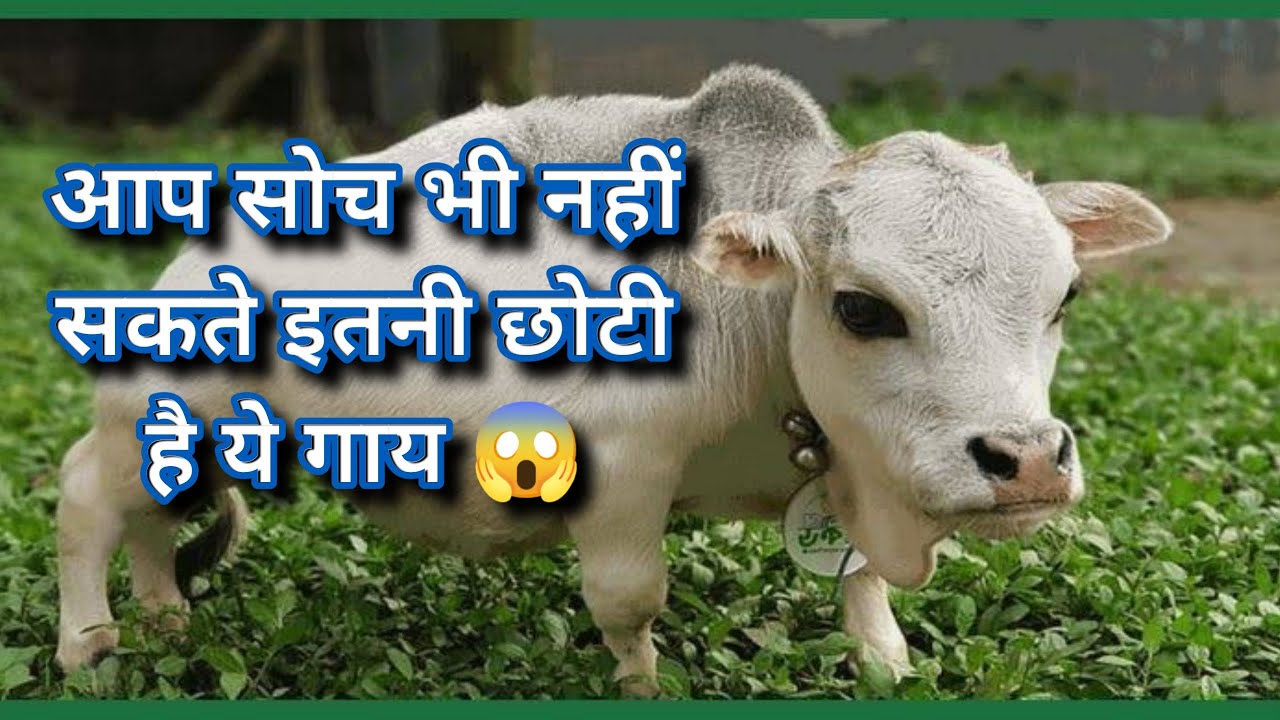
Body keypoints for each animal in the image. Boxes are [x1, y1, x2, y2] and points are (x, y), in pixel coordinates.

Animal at [52, 64, 1172, 696]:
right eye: (863, 308)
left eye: (1065, 294)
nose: (1027, 461)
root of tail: (187, 262)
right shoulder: (623, 470)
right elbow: (630, 600)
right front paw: (642, 686)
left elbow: (859, 588)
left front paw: (884, 663)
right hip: (147, 423)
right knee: (83, 501)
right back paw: (87, 646)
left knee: (149, 528)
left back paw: (166, 618)